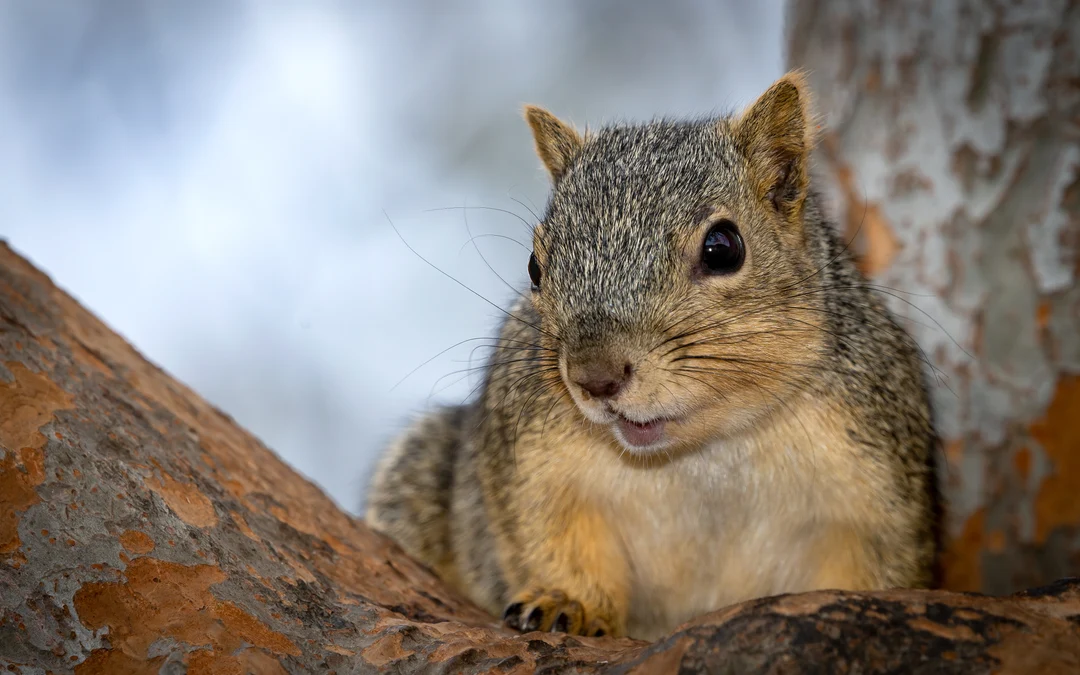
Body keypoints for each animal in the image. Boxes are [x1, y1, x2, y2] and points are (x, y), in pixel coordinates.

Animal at [366, 72, 941, 641]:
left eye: (723, 247)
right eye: (534, 265)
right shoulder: (528, 461)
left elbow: (873, 567)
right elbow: (550, 539)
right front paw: (568, 600)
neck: (701, 450)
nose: (594, 379)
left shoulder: (876, 484)